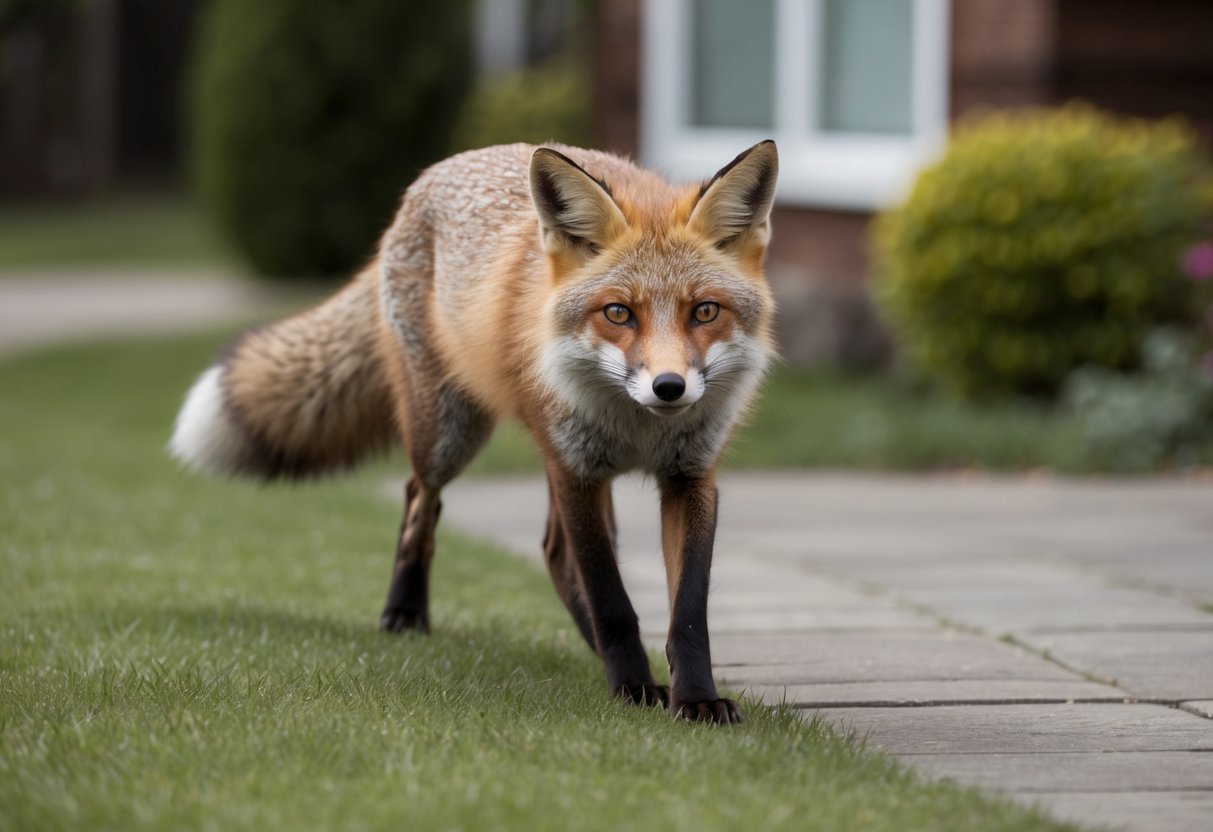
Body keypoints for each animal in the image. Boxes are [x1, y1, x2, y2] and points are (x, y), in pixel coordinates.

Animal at [170, 140, 778, 724]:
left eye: (704, 312)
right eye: (618, 313)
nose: (668, 387)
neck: (639, 430)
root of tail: (427, 178)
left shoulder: (688, 477)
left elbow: (688, 614)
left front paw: (695, 699)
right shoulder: (575, 471)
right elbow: (611, 599)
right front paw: (632, 686)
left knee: (552, 551)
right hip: (450, 436)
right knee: (421, 501)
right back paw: (405, 612)